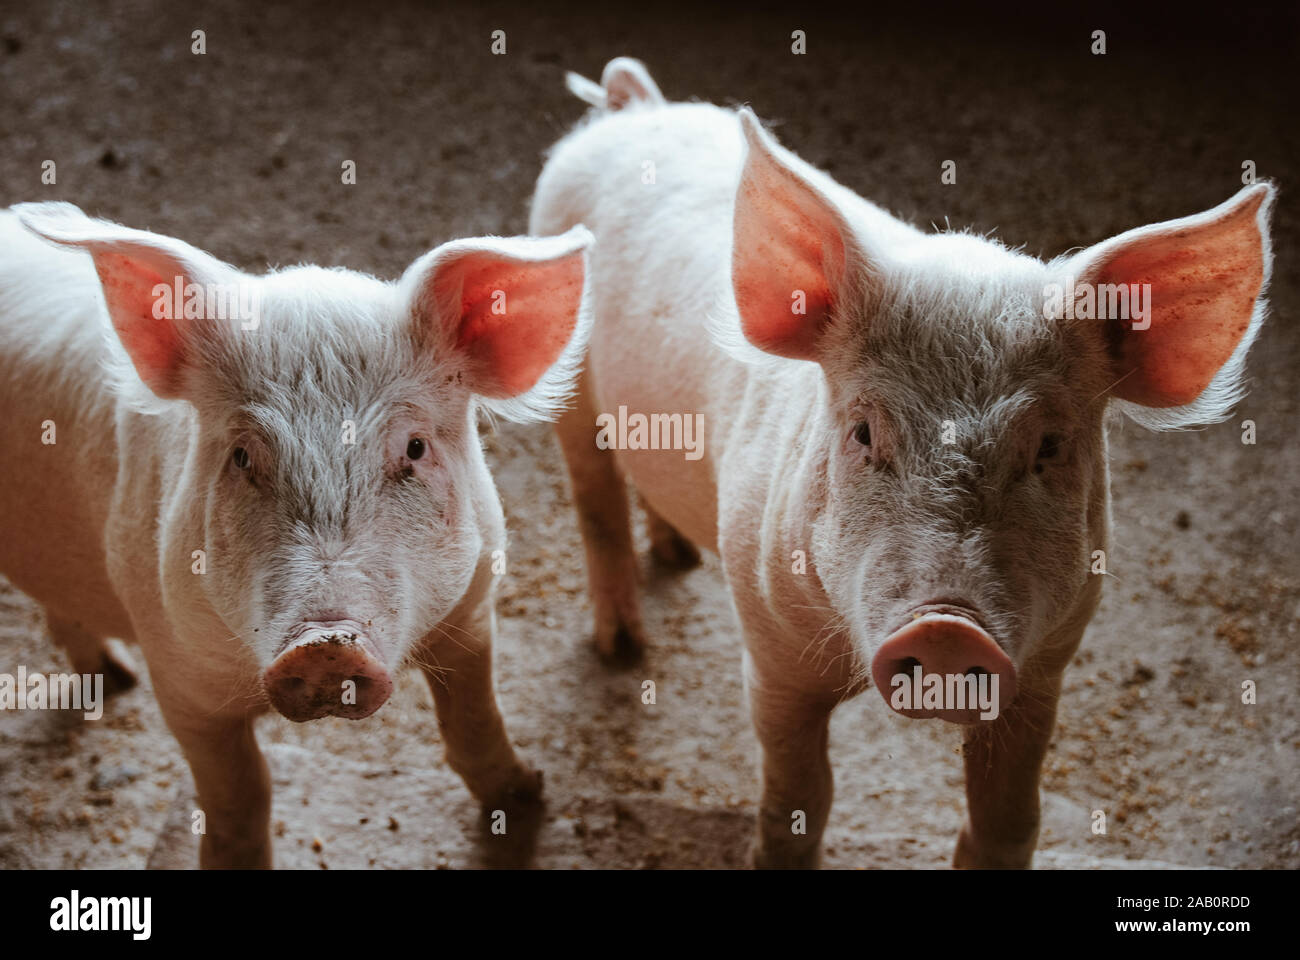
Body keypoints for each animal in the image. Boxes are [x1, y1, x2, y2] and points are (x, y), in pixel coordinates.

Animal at [0, 202, 594, 867]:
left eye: (415, 447)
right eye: (241, 457)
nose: (326, 645)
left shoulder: (471, 611)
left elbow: (474, 720)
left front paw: (528, 796)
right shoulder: (180, 679)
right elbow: (239, 792)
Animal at [531, 58, 1275, 868]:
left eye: (1049, 445)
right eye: (863, 432)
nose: (947, 628)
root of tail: (634, 108)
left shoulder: (1048, 660)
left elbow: (1008, 817)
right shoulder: (770, 647)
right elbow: (798, 798)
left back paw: (677, 557)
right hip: (571, 382)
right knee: (595, 496)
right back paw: (622, 649)